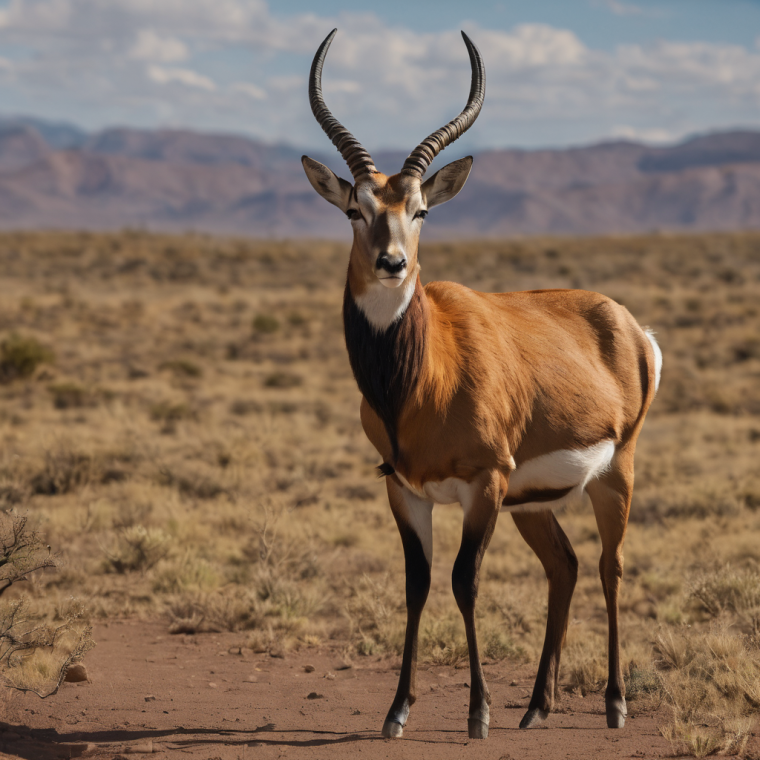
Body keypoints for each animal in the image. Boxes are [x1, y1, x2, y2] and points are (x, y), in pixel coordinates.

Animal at [302, 29, 662, 740]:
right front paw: (397, 712)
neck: (418, 381)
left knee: (608, 567)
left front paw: (476, 713)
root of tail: (628, 325)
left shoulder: (484, 486)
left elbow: (464, 581)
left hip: (613, 475)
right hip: (534, 501)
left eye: (419, 211)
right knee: (564, 567)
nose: (392, 263)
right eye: (357, 208)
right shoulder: (405, 491)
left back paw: (612, 705)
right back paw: (536, 707)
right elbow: (417, 584)